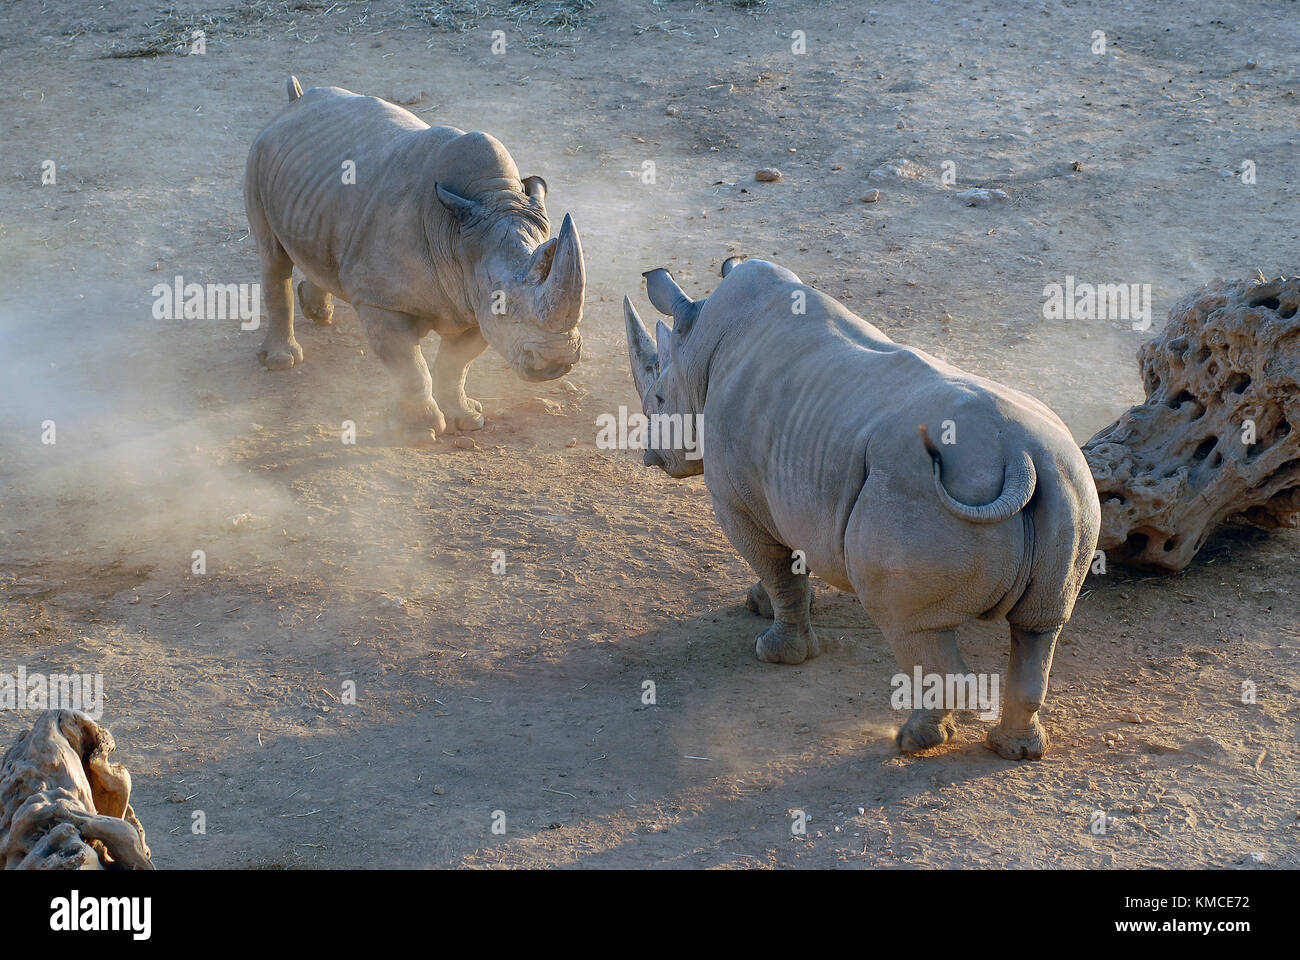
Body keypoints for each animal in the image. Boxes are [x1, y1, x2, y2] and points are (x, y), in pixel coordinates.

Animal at [244, 76, 584, 440]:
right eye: (501, 303)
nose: (556, 360)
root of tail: (294, 103)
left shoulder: (472, 298)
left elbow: (455, 364)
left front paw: (467, 420)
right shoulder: (380, 300)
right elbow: (411, 368)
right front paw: (421, 434)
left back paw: (320, 313)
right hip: (259, 153)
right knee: (274, 257)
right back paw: (281, 361)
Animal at [623, 258, 1101, 760]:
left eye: (659, 398)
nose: (652, 456)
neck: (700, 350)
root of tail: (1019, 458)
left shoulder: (736, 500)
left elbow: (775, 566)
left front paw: (779, 654)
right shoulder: (787, 486)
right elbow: (787, 566)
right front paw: (759, 604)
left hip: (912, 499)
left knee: (910, 624)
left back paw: (913, 742)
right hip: (1070, 488)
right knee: (1041, 627)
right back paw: (1016, 750)